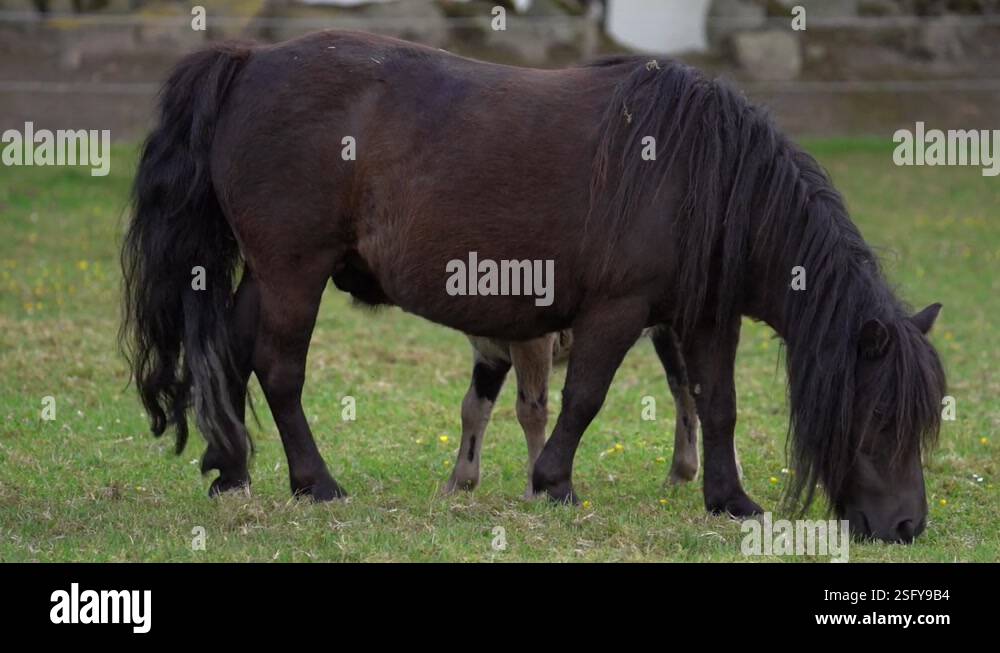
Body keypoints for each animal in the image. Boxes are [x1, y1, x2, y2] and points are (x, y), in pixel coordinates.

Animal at [444, 327, 708, 497]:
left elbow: (531, 411)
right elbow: (473, 408)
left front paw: (536, 492)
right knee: (683, 387)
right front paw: (459, 484)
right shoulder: (488, 351)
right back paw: (680, 475)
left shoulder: (533, 339)